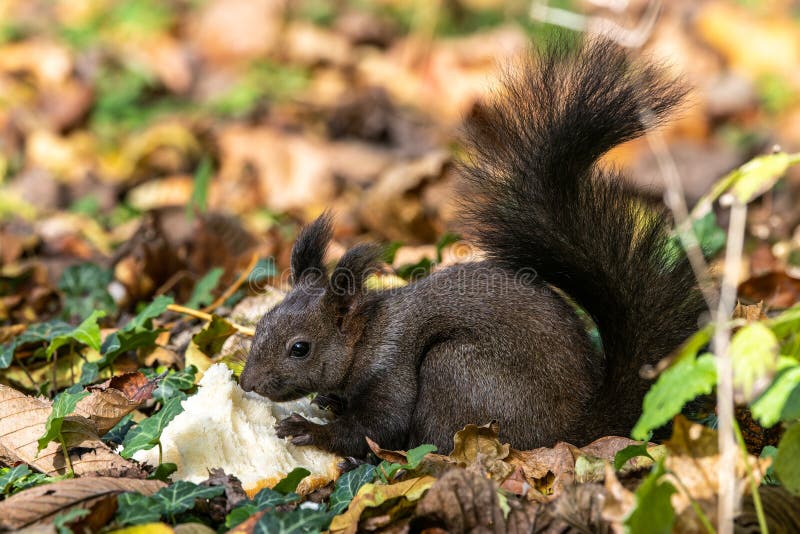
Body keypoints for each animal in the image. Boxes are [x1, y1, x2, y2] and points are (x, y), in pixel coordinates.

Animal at [239, 38, 706, 458]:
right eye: (261, 325)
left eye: (300, 348)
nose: (247, 383)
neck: (365, 339)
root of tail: (574, 428)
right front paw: (327, 401)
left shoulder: (392, 373)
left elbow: (377, 427)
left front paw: (311, 430)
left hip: (455, 369)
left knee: (435, 442)